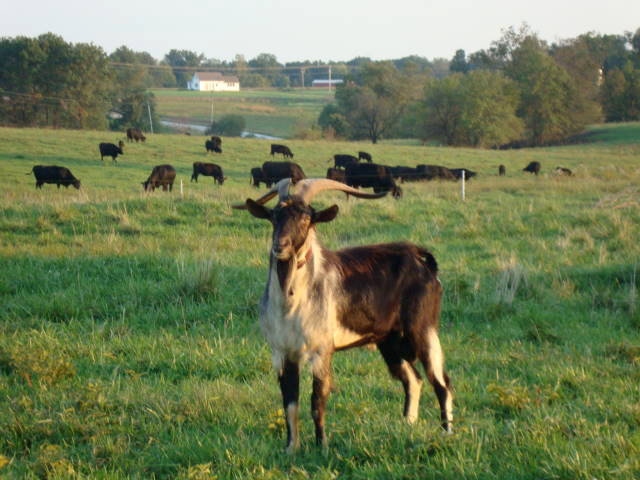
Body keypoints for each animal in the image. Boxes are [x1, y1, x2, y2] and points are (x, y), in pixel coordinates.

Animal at [233, 178, 453, 452]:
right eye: (274, 216)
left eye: (306, 219)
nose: (279, 247)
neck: (291, 304)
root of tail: (422, 261)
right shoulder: (282, 353)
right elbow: (289, 404)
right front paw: (291, 449)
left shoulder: (321, 350)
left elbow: (317, 400)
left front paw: (322, 448)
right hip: (389, 342)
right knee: (413, 380)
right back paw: (407, 426)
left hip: (422, 330)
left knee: (442, 382)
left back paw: (447, 433)